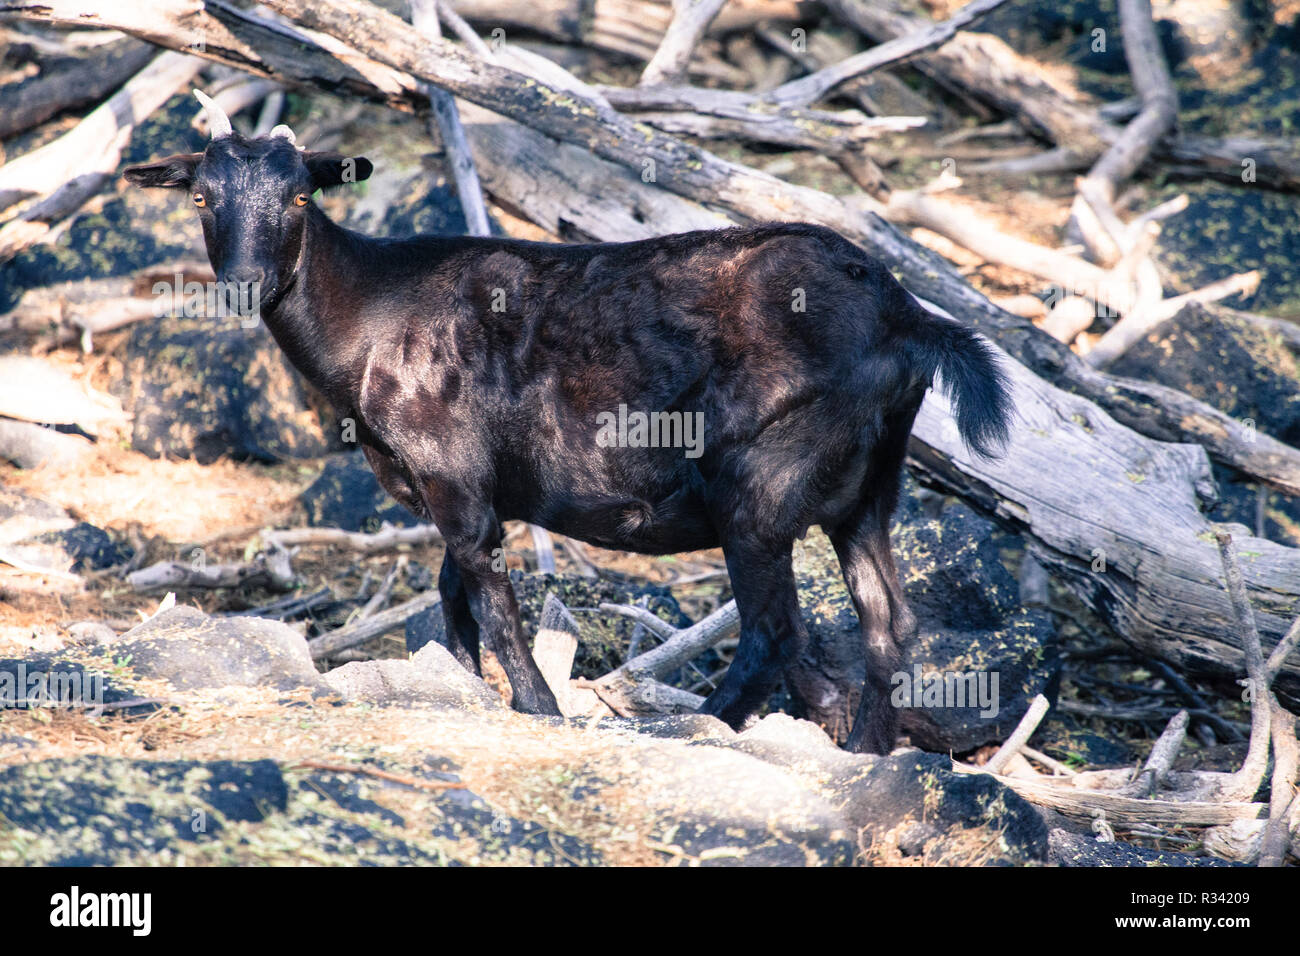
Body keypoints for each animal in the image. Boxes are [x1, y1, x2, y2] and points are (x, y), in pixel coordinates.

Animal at [124, 91, 1013, 753]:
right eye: (201, 196)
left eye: (302, 195)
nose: (243, 284)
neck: (369, 317)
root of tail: (907, 318)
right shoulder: (467, 485)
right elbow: (452, 597)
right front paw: (464, 687)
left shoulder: (452, 471)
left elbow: (489, 597)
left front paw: (538, 708)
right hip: (868, 488)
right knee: (886, 622)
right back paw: (863, 747)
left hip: (761, 484)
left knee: (773, 630)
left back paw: (694, 728)